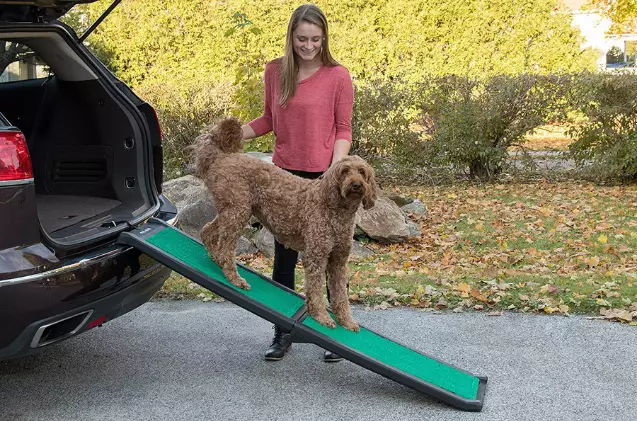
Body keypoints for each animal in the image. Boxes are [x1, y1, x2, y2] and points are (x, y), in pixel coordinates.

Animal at [191, 116, 376, 330]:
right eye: (344, 171)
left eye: (362, 172)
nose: (356, 184)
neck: (337, 210)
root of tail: (222, 157)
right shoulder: (316, 255)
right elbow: (315, 290)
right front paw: (321, 316)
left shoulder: (338, 261)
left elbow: (340, 294)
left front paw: (346, 320)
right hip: (237, 211)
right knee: (226, 245)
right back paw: (234, 277)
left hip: (232, 210)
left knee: (208, 230)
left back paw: (216, 258)